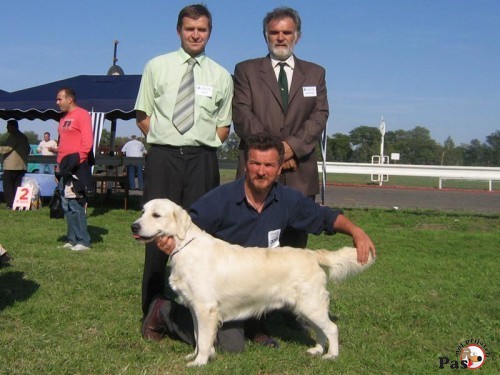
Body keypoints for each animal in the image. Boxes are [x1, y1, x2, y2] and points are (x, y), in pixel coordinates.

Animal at [133, 200, 376, 368]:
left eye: (156, 215)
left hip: (311, 304)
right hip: (305, 307)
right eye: (142, 211)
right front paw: (197, 355)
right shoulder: (196, 309)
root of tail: (312, 254)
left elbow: (203, 337)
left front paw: (199, 362)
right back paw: (317, 350)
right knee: (320, 330)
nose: (134, 227)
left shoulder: (206, 309)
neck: (185, 246)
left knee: (332, 328)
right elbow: (198, 336)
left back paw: (331, 355)